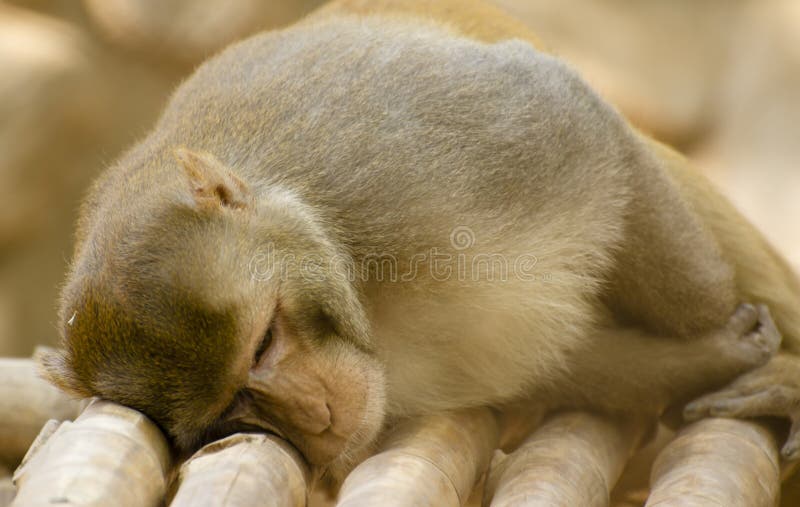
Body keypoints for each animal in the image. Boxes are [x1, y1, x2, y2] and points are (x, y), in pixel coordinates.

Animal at [40, 0, 800, 481]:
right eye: (229, 412)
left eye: (262, 343)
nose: (315, 416)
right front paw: (704, 361)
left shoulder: (403, 169)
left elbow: (570, 118)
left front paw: (726, 340)